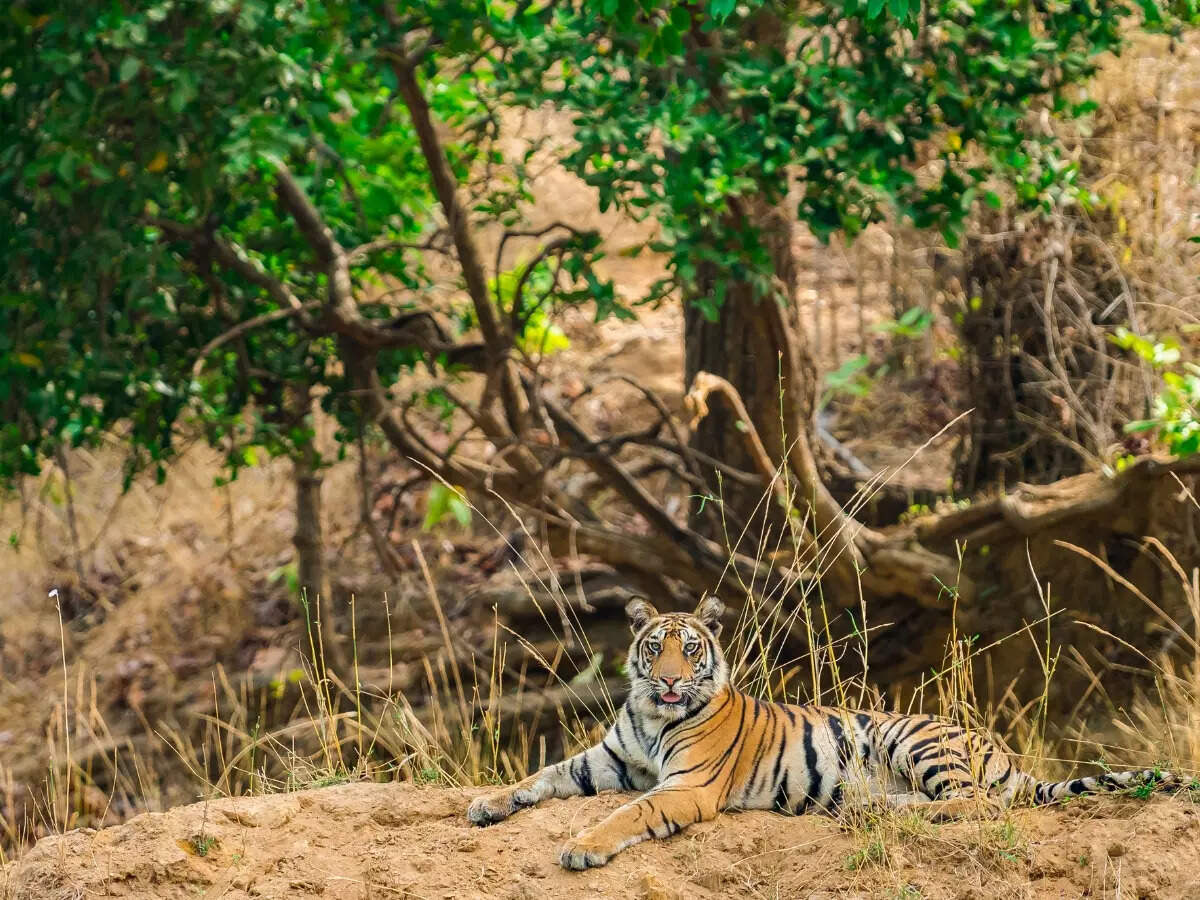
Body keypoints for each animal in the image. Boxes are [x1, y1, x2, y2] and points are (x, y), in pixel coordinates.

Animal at [467, 596, 1181, 870]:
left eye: (690, 649)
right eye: (654, 646)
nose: (669, 680)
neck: (651, 715)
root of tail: (1003, 750)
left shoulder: (685, 788)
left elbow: (627, 813)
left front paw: (581, 847)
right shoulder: (607, 761)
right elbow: (542, 774)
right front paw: (486, 803)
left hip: (911, 738)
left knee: (978, 802)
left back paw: (883, 812)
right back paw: (868, 809)